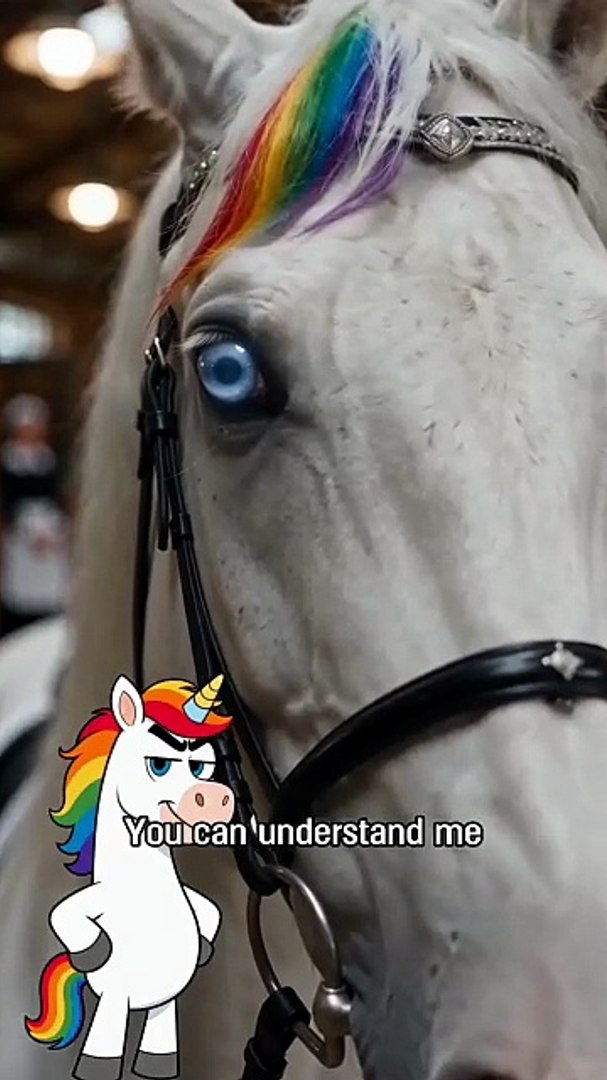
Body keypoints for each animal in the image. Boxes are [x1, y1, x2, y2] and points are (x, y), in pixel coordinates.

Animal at [25, 675, 233, 1080]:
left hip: (164, 1004)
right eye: (159, 765)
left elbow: (209, 911)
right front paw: (95, 951)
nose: (216, 800)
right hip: (117, 1000)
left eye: (201, 767)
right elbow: (65, 915)